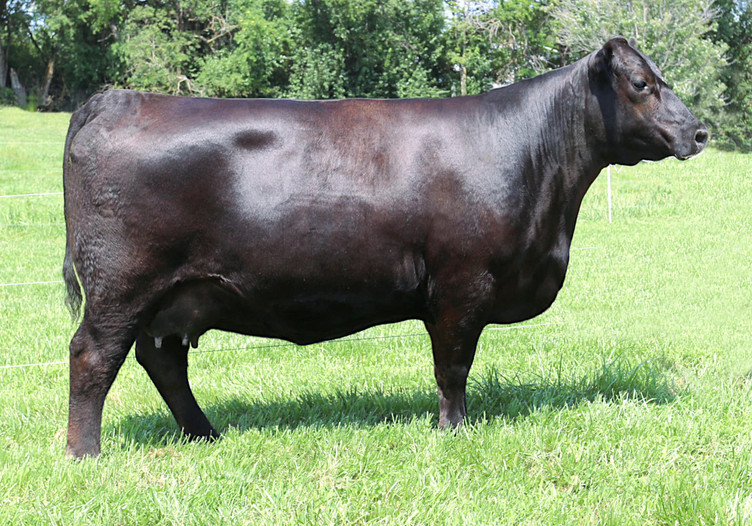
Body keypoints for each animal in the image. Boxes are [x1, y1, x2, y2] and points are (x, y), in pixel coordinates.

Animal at [62, 37, 707, 458]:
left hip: (174, 296)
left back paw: (205, 434)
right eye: (642, 84)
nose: (700, 131)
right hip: (122, 284)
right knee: (93, 357)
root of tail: (116, 99)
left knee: (163, 360)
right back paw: (85, 453)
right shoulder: (461, 283)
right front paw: (452, 432)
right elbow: (453, 365)